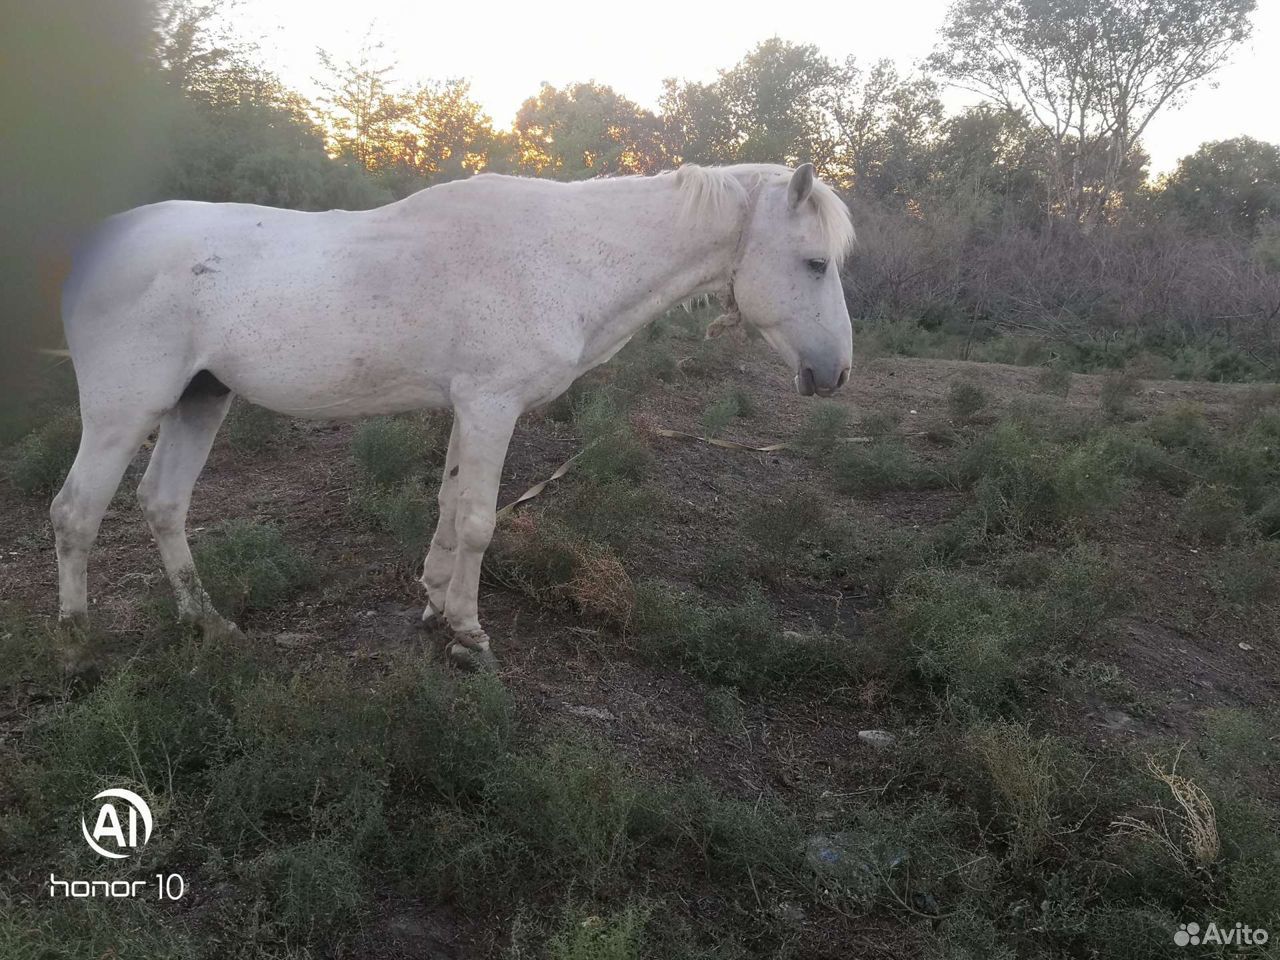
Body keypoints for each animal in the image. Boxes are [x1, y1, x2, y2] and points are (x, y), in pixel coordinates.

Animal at [51, 162, 856, 668]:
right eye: (815, 263)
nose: (836, 373)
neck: (561, 254)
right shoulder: (492, 406)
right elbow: (476, 520)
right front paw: (470, 636)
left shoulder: (468, 409)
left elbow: (446, 504)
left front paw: (437, 602)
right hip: (125, 411)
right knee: (76, 513)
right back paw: (77, 643)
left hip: (200, 400)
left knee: (163, 504)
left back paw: (208, 624)